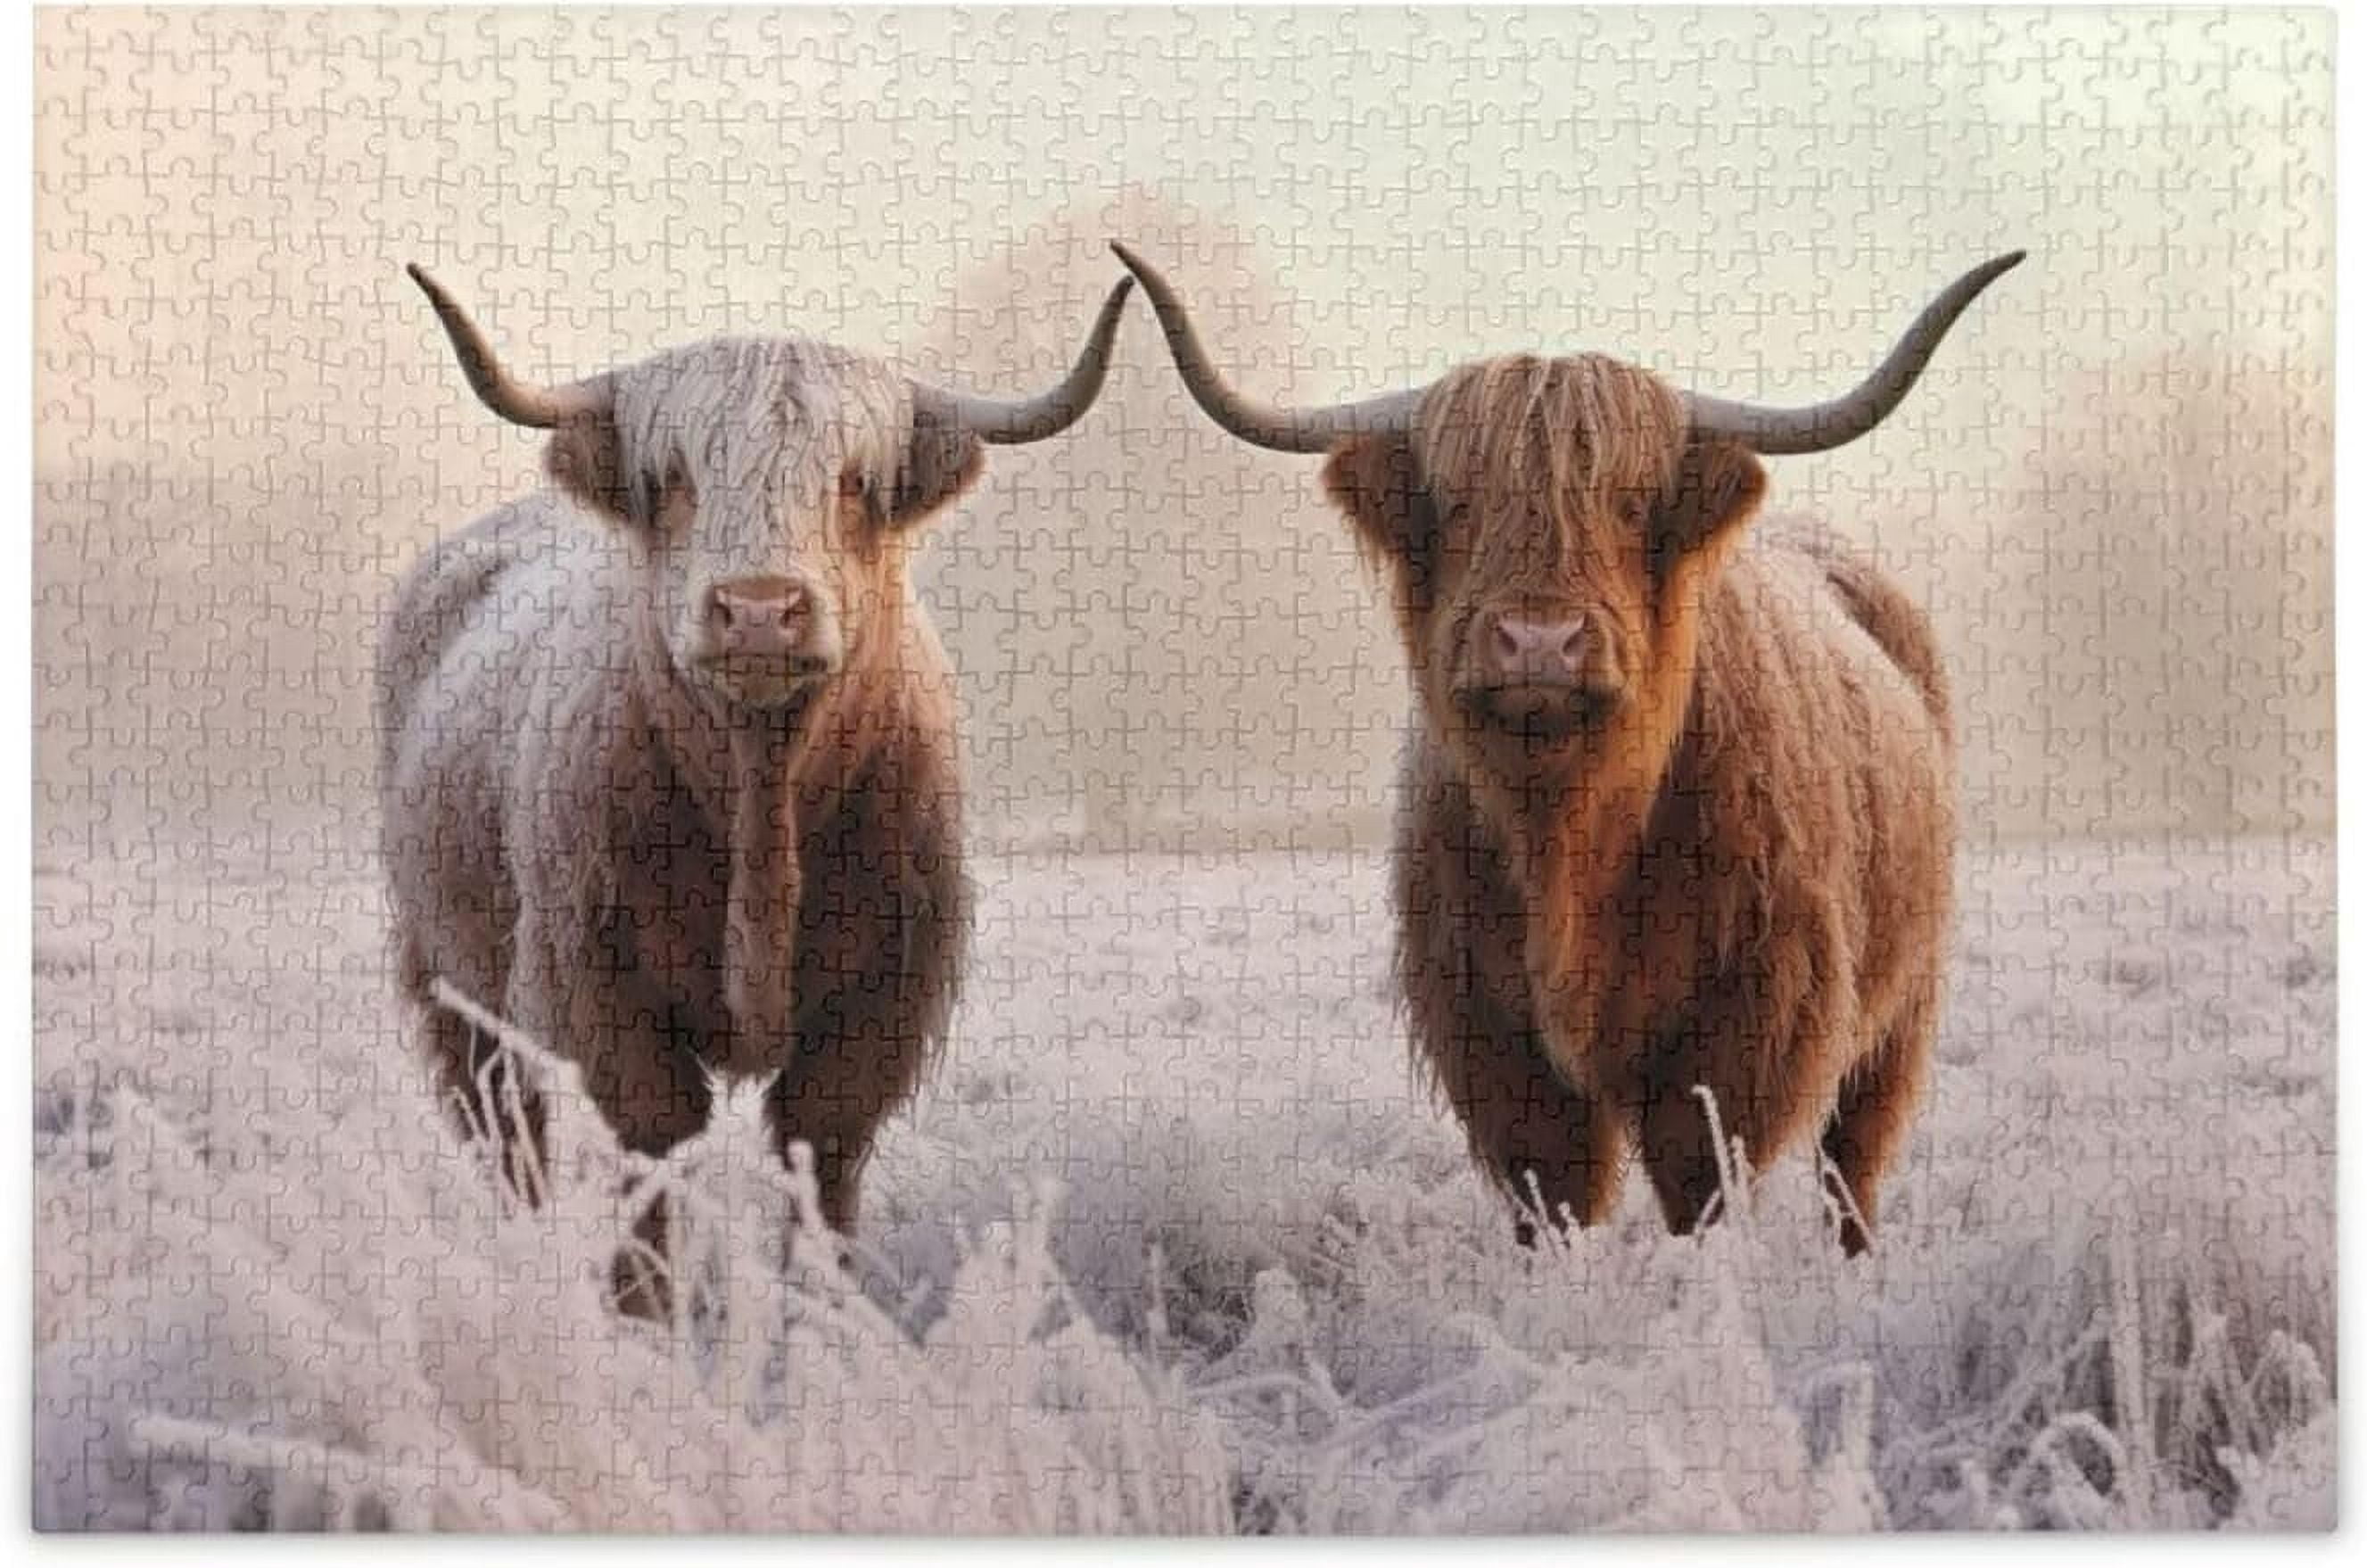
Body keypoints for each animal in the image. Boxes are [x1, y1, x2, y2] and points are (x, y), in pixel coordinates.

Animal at [378, 267, 1132, 1284]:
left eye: (854, 483)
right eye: (674, 480)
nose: (760, 610)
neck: (762, 789)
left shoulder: (881, 1001)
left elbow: (821, 1162)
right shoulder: (598, 989)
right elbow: (649, 1170)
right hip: (447, 981)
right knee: (508, 1135)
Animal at [1112, 241, 2020, 1254]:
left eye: (1628, 502)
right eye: (1459, 501)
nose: (1538, 642)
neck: (1569, 832)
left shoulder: (1749, 1020)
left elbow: (1701, 1189)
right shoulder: (1491, 1035)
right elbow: (1553, 1198)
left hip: (1903, 1008)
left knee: (1851, 1165)